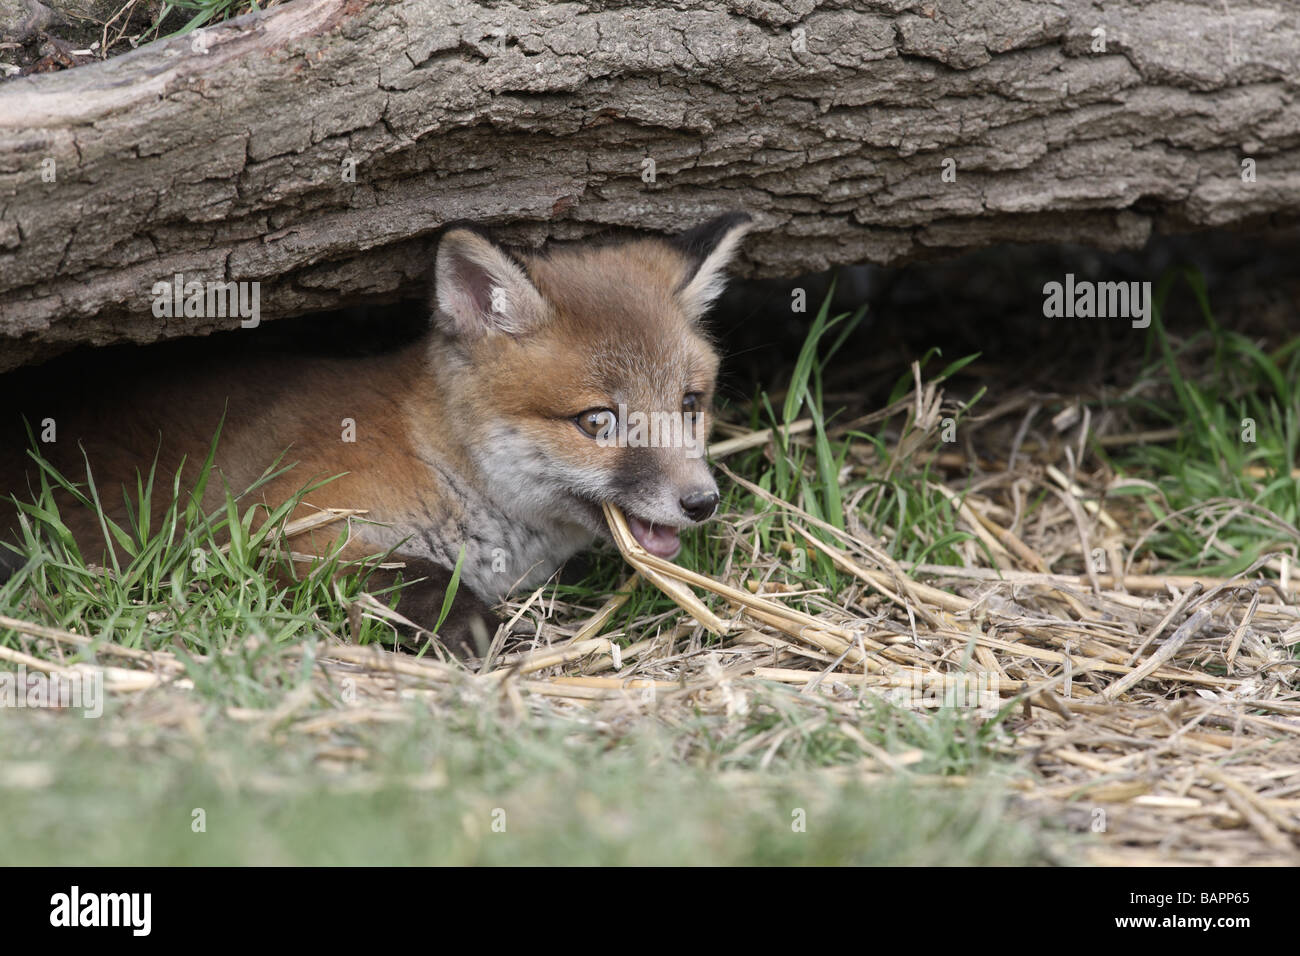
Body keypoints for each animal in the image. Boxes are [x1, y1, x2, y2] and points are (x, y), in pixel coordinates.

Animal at [0, 212, 754, 655]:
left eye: (691, 404)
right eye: (597, 421)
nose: (702, 502)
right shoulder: (281, 526)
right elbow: (415, 578)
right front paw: (470, 629)